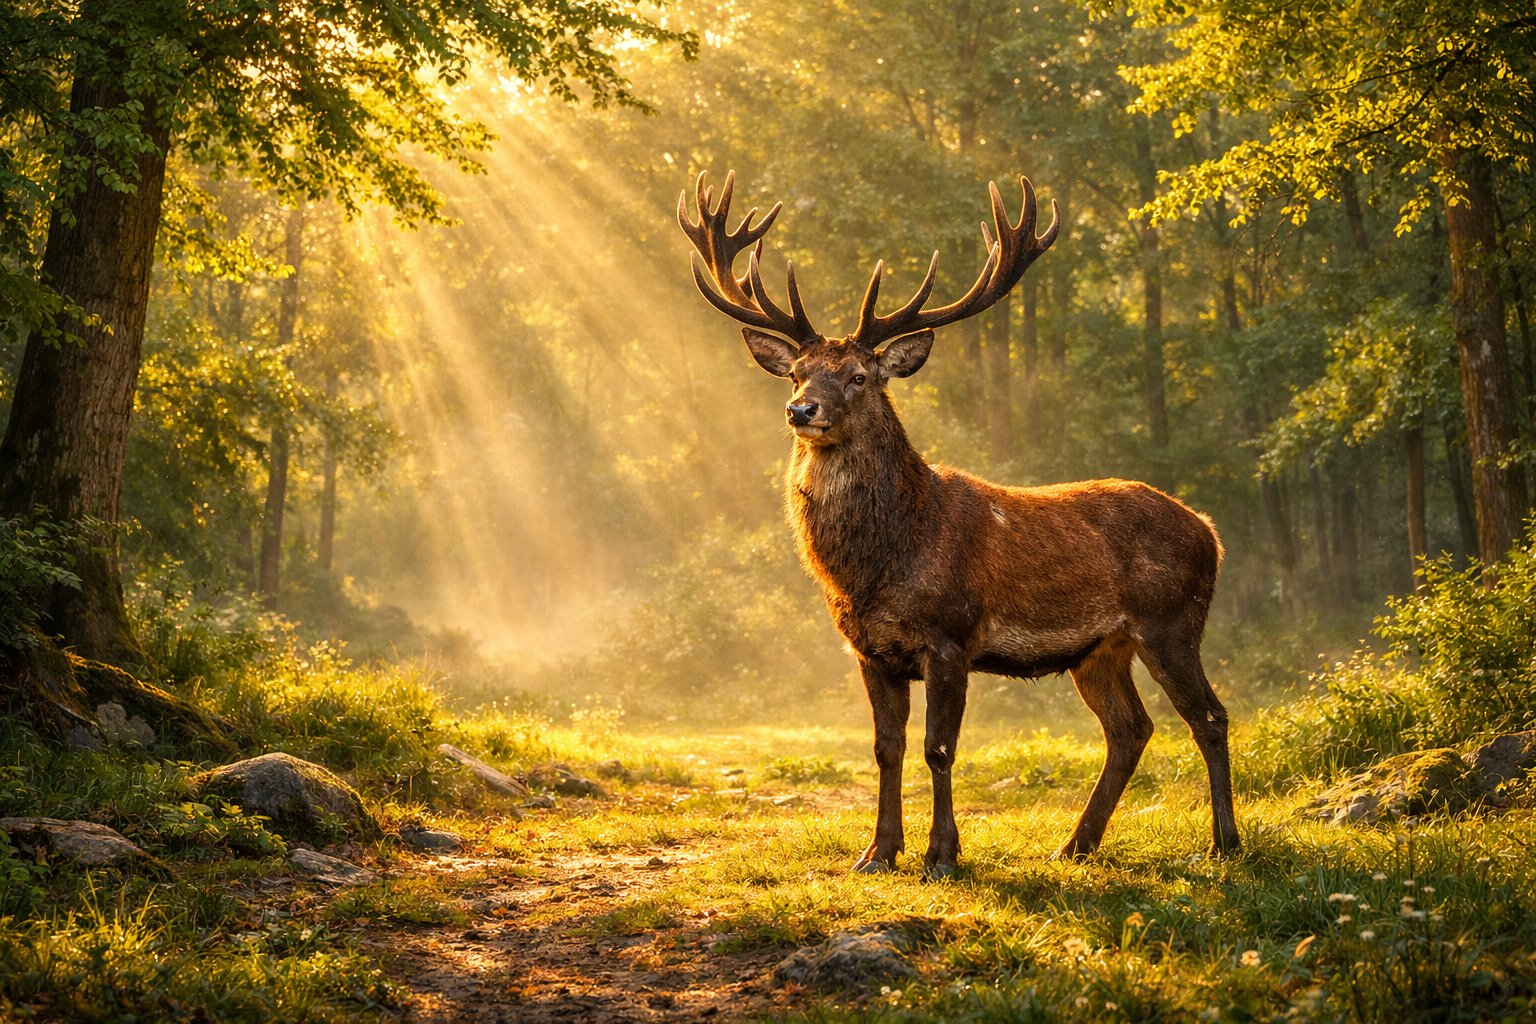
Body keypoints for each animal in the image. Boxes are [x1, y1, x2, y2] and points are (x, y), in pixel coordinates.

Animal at [678, 170, 1239, 878]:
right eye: (800, 372)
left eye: (858, 376)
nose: (801, 410)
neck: (877, 568)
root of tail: (1211, 532)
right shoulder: (869, 650)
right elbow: (886, 749)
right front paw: (877, 853)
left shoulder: (950, 636)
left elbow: (938, 749)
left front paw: (941, 855)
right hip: (1099, 650)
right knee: (1130, 728)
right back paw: (1074, 844)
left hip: (1172, 620)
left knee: (1210, 717)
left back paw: (1224, 843)